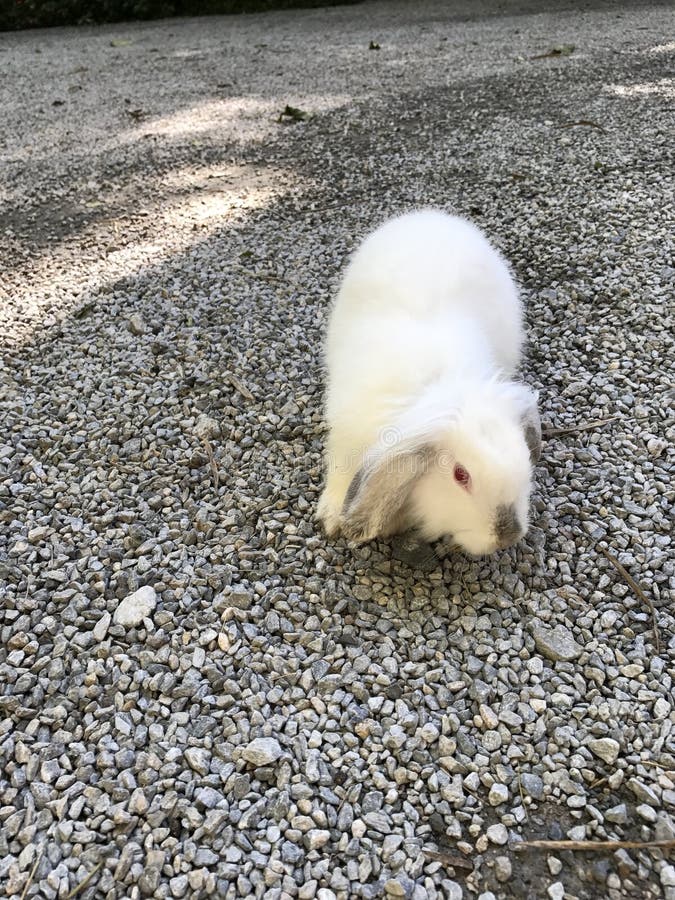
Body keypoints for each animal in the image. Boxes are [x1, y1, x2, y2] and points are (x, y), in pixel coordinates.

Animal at [317, 208, 541, 556]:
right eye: (460, 475)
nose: (508, 535)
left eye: (525, 454)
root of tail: (430, 216)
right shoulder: (346, 439)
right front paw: (332, 518)